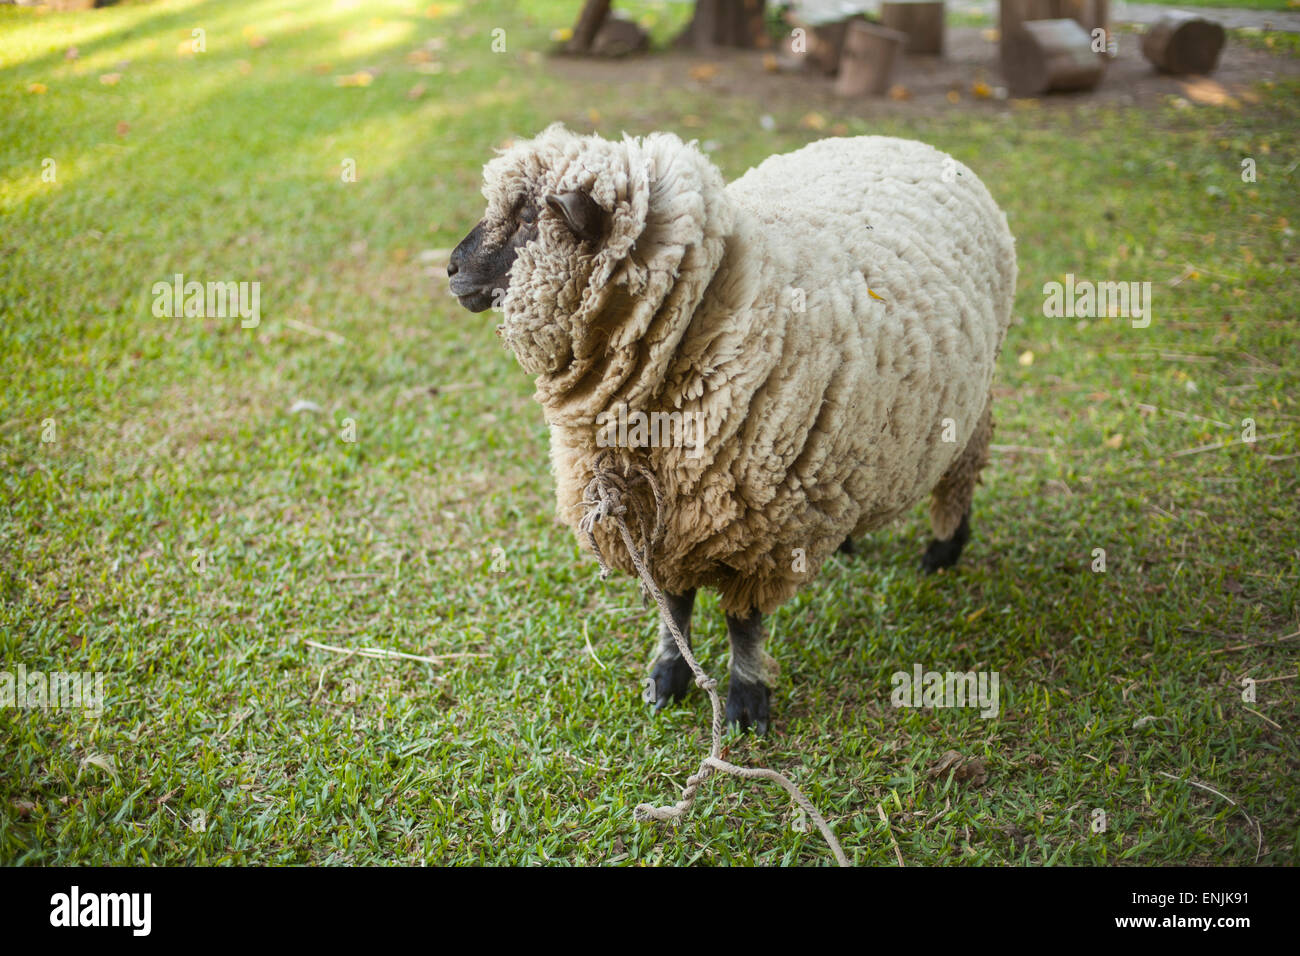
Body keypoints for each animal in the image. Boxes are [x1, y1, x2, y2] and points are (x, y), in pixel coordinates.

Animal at [448, 124, 1017, 733]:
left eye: (530, 215)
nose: (451, 270)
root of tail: (911, 142)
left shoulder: (762, 528)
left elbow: (743, 622)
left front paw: (746, 701)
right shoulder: (662, 515)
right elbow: (675, 607)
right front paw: (668, 677)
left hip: (970, 404)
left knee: (962, 470)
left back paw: (944, 549)